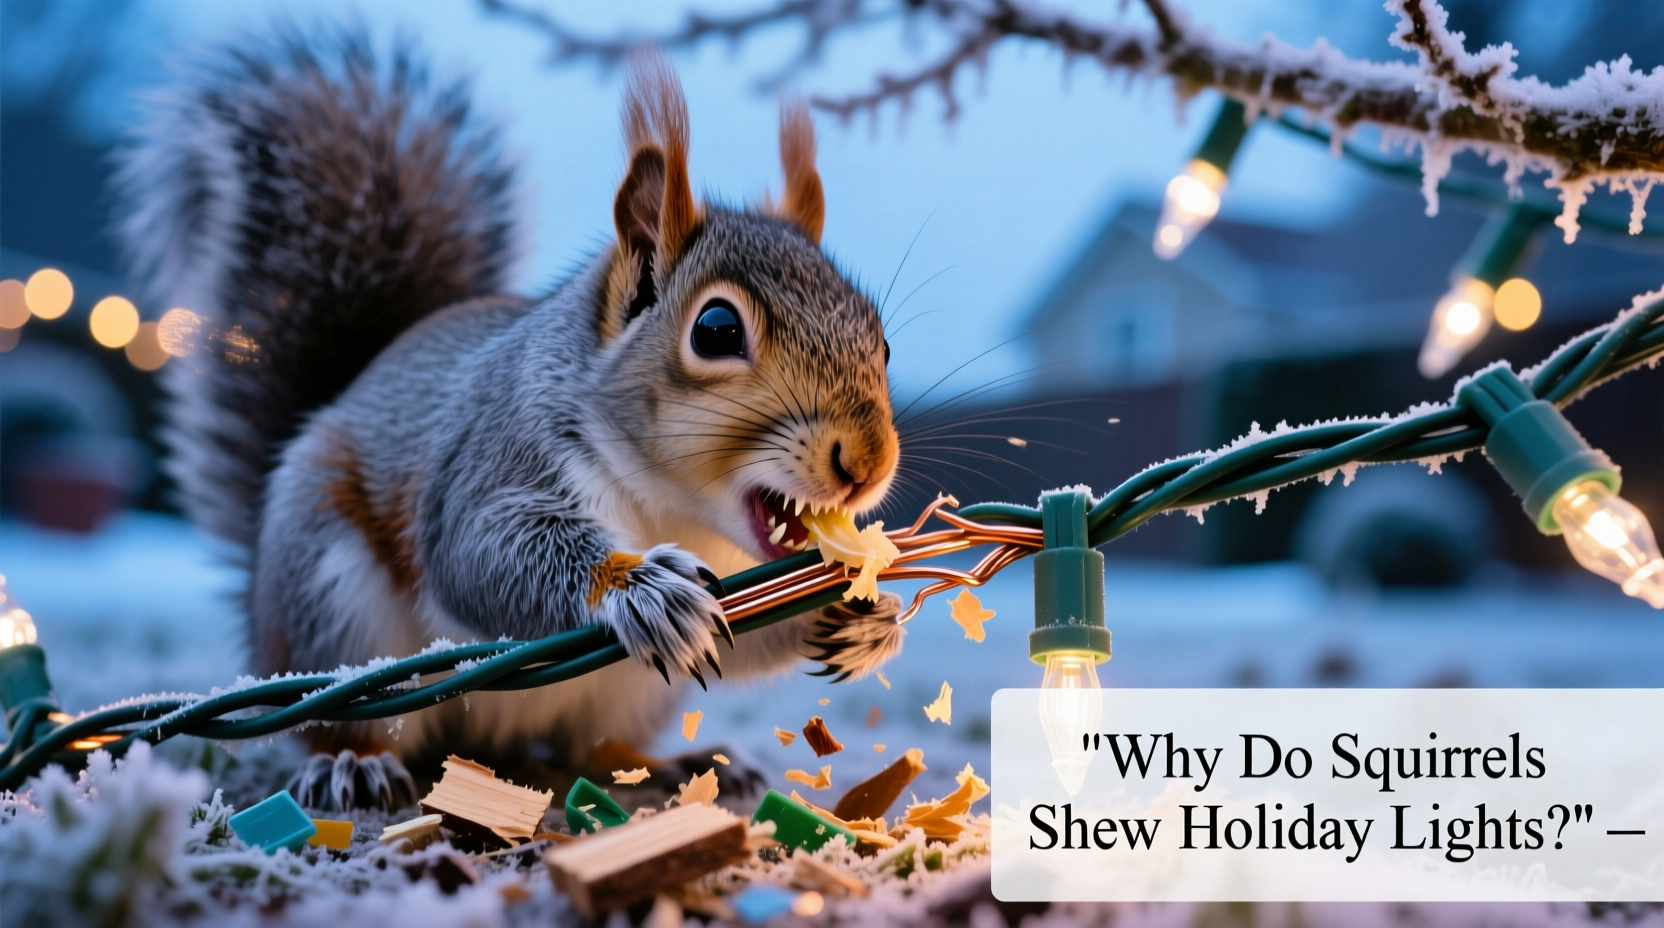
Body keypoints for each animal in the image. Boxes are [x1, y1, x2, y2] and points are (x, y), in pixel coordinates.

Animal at [115, 31, 907, 810]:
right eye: (715, 330)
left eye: (882, 340)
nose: (867, 464)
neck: (671, 509)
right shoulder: (501, 449)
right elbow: (477, 549)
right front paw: (638, 587)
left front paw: (865, 613)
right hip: (328, 599)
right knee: (340, 716)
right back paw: (351, 765)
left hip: (629, 694)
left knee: (590, 748)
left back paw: (670, 765)